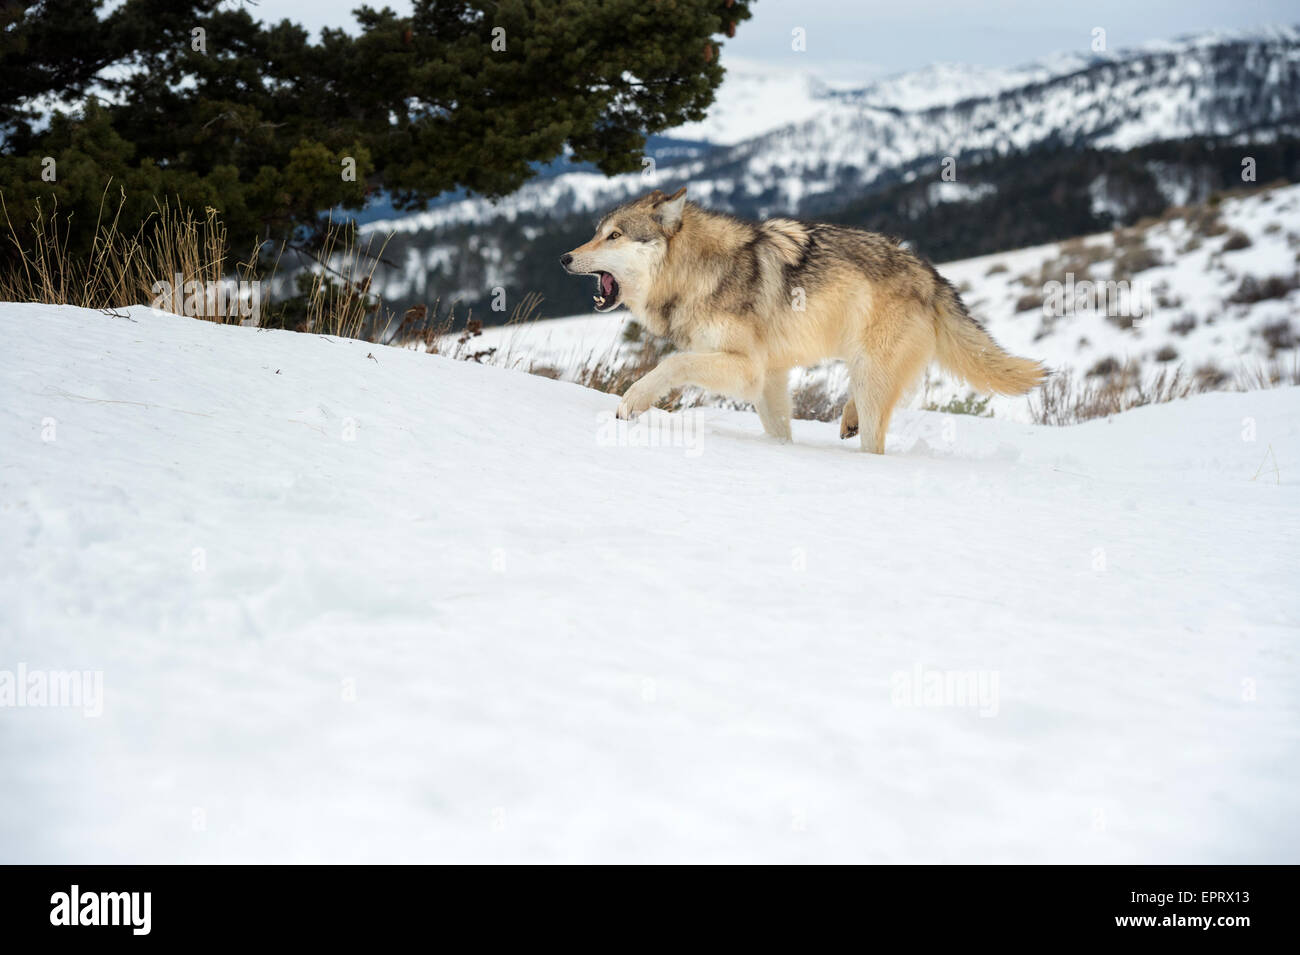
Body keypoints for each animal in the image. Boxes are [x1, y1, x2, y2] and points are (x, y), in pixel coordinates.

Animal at [560, 187, 1045, 453]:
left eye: (614, 236)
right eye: (597, 233)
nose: (564, 258)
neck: (698, 271)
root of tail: (930, 273)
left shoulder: (748, 370)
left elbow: (671, 363)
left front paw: (631, 403)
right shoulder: (771, 378)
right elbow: (778, 431)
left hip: (871, 374)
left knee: (876, 444)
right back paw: (847, 418)